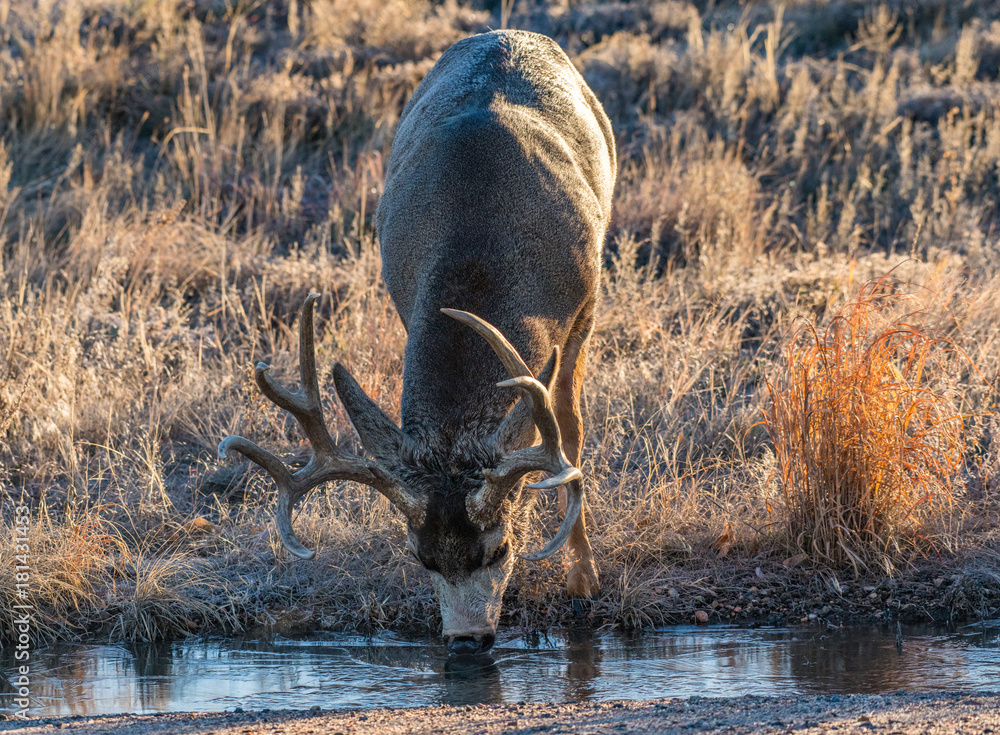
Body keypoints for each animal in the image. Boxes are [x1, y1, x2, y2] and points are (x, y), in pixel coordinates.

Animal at [219, 29, 616, 655]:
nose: (466, 640)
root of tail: (506, 33)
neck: (477, 250)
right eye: (421, 558)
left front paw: (582, 579)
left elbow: (569, 438)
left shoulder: (583, 310)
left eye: (501, 549)